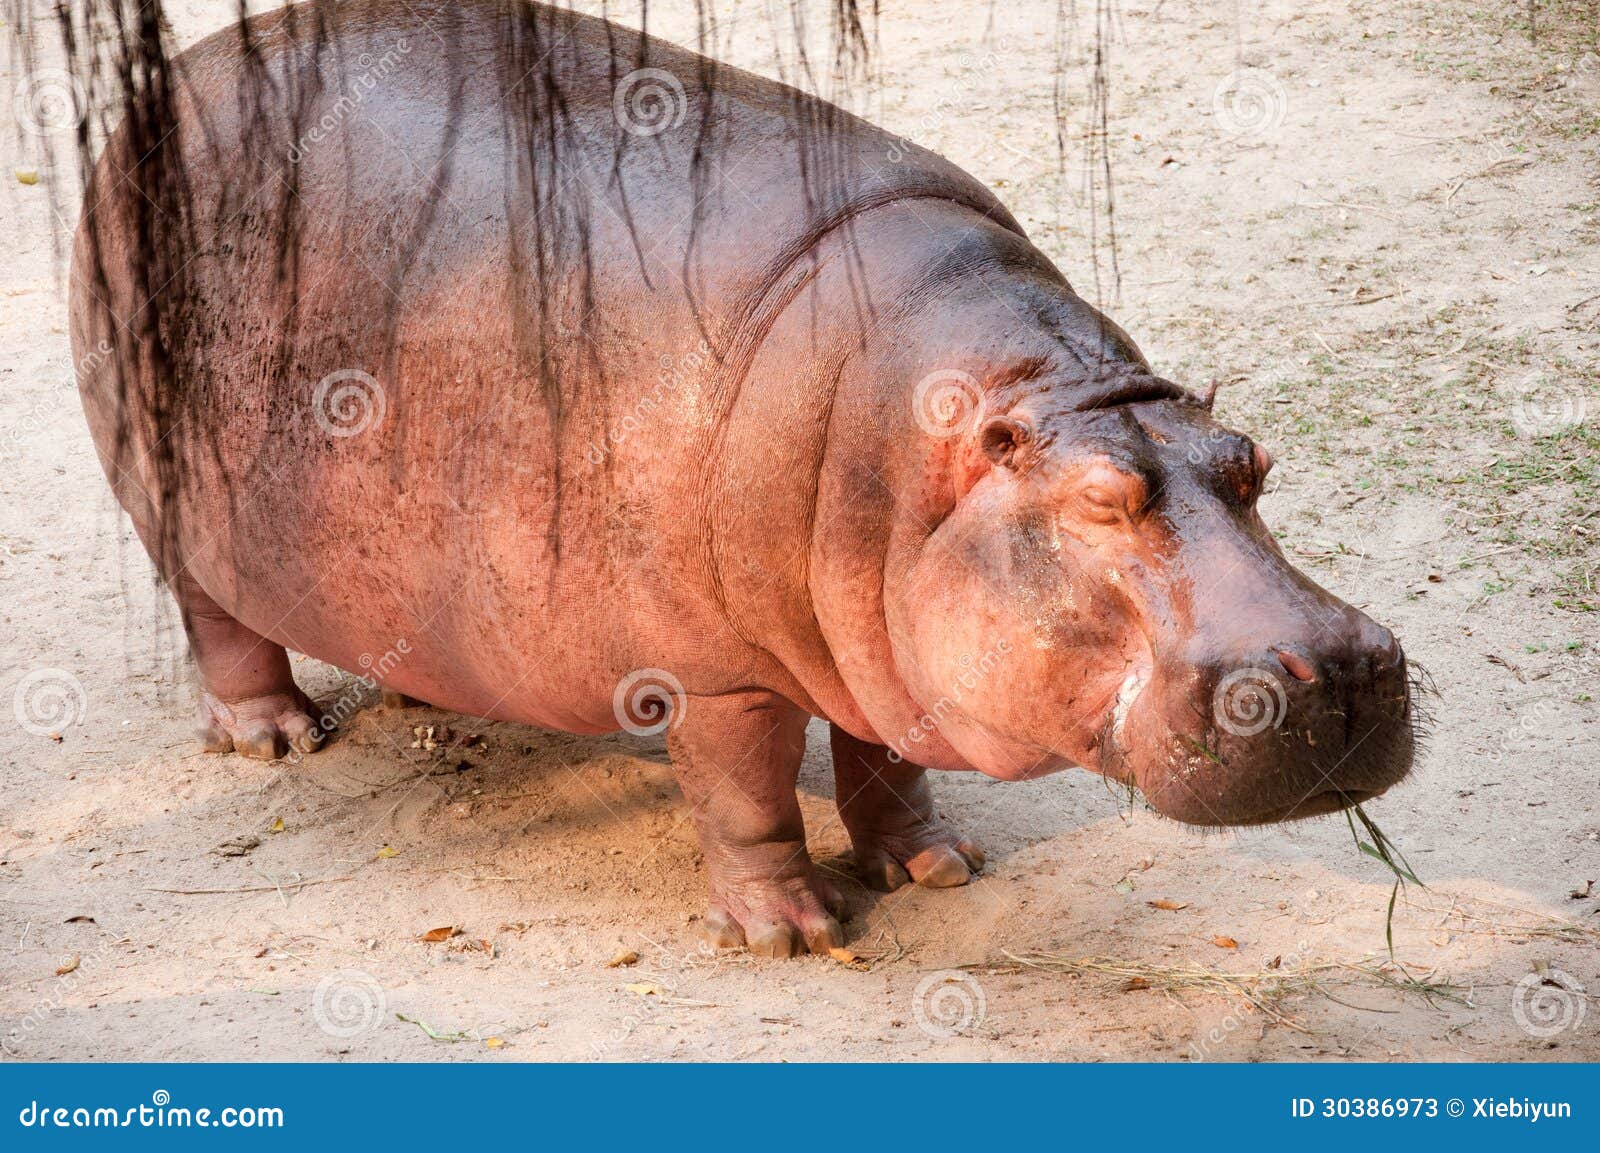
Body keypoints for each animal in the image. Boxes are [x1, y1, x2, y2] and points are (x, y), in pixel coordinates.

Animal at [72, 0, 1415, 957]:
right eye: (1100, 500)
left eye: (1252, 464)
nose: (1338, 667)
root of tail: (178, 71)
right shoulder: (716, 672)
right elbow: (747, 796)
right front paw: (791, 934)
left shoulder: (876, 632)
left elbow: (888, 760)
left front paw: (934, 868)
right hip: (171, 506)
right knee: (219, 624)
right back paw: (277, 740)